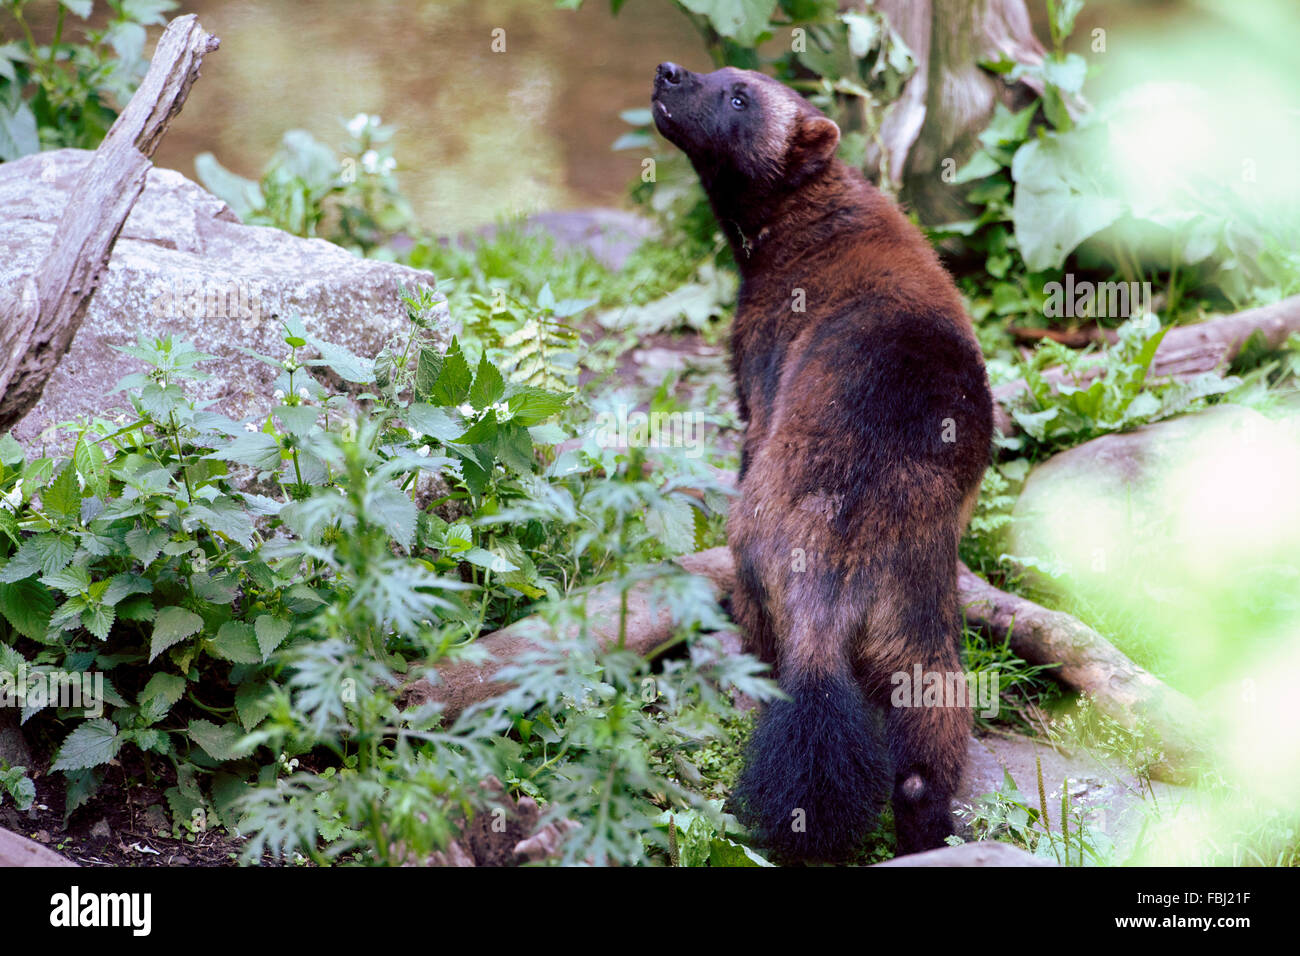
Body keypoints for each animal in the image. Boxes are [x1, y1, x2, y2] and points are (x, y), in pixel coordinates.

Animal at [651, 61, 994, 861]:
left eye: (740, 95)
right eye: (720, 75)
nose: (670, 70)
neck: (821, 220)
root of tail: (831, 570)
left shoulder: (754, 367)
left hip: (756, 570)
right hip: (926, 639)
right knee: (924, 762)